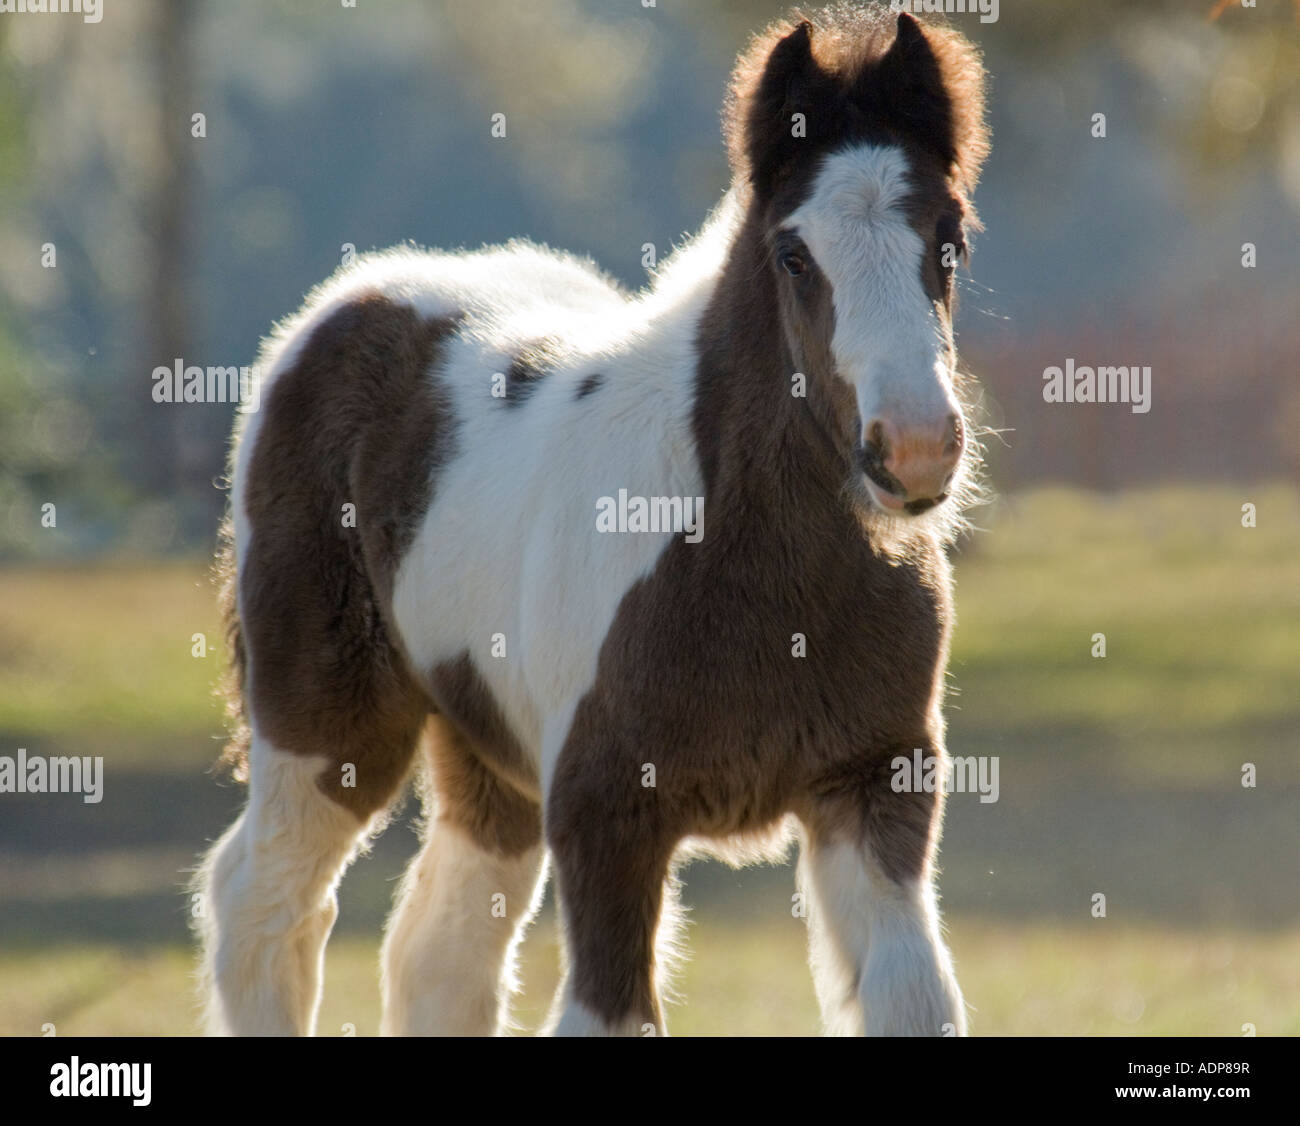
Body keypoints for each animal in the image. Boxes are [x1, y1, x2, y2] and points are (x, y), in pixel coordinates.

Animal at [193, 2, 990, 1037]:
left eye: (951, 237)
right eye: (793, 254)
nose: (916, 450)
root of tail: (344, 302)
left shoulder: (875, 784)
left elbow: (912, 997)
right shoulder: (606, 812)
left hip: (492, 757)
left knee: (437, 951)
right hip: (323, 717)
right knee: (265, 897)